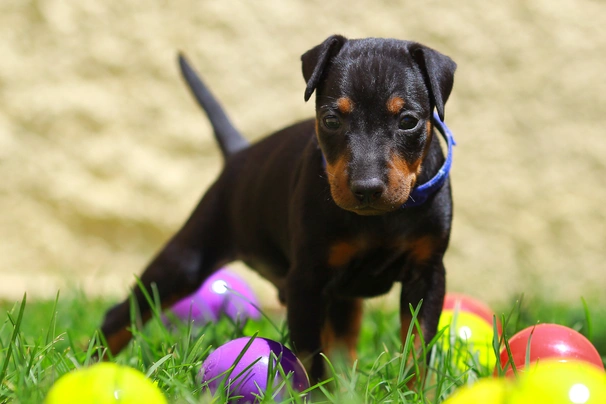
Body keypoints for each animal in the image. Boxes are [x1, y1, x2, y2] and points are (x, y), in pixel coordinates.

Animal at [102, 35, 458, 382]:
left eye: (408, 121)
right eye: (331, 120)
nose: (367, 188)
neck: (379, 221)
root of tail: (239, 155)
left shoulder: (428, 275)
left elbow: (418, 349)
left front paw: (416, 391)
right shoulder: (306, 280)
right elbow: (312, 357)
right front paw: (315, 393)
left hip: (342, 296)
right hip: (189, 258)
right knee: (121, 314)